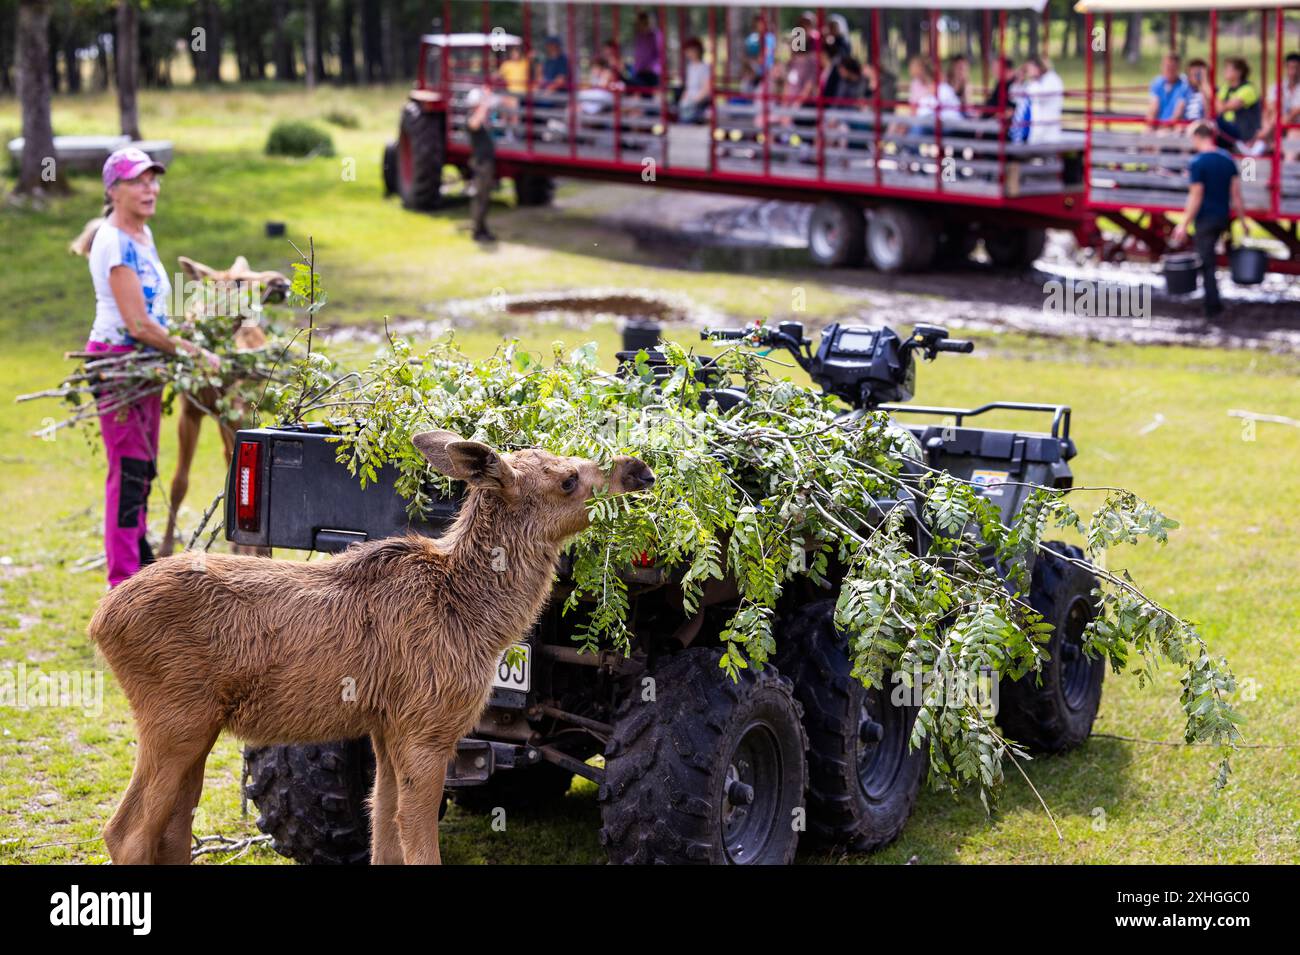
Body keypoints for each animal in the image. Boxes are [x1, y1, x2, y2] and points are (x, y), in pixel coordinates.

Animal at [89, 431, 655, 865]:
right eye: (568, 479)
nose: (641, 470)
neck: (478, 617)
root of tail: (100, 620)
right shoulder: (428, 726)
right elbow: (418, 842)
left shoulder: (385, 727)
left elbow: (382, 833)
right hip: (175, 719)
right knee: (125, 832)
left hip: (198, 728)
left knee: (172, 831)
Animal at [159, 256, 290, 558]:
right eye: (239, 281)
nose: (282, 282)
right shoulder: (189, 411)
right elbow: (179, 482)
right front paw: (164, 548)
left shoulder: (236, 409)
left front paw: (250, 549)